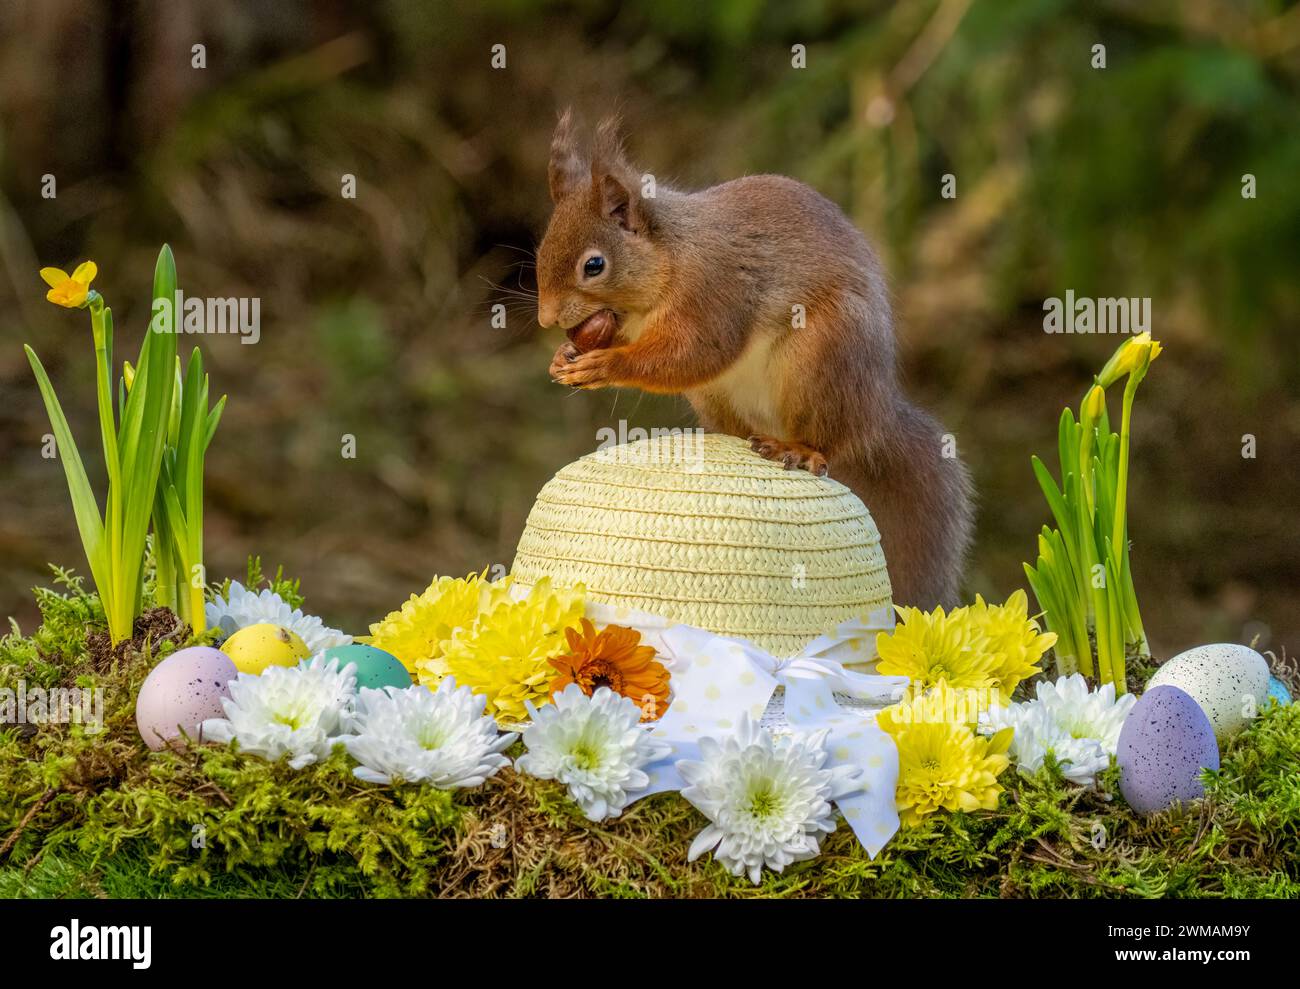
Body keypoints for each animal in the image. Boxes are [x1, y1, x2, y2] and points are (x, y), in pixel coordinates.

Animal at [536, 111, 973, 608]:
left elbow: (697, 351)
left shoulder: (714, 288)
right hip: (718, 396)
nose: (547, 318)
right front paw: (564, 356)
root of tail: (876, 415)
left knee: (828, 440)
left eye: (594, 265)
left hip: (823, 355)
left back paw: (798, 449)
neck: (670, 256)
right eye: (541, 248)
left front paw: (605, 365)